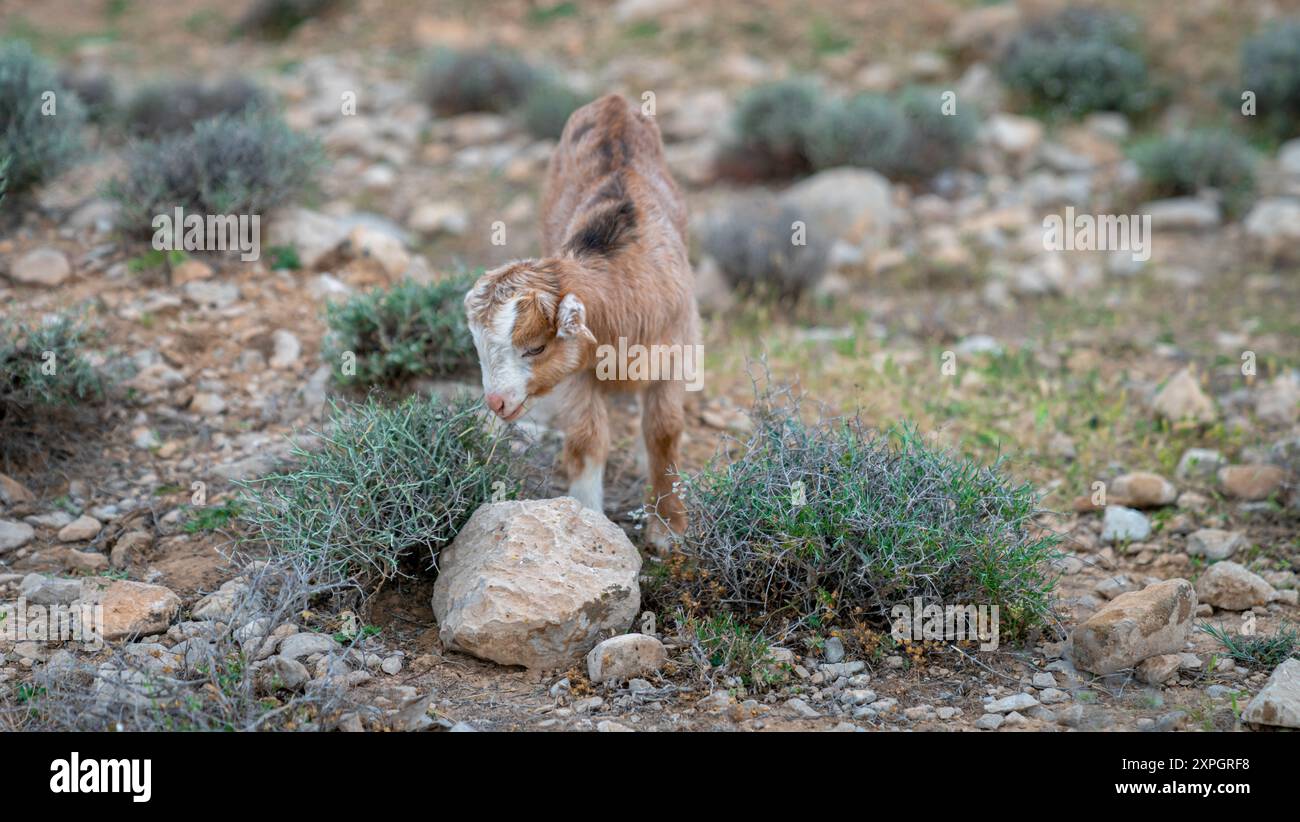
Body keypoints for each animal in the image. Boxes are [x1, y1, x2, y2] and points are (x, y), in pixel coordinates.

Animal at [464, 93, 699, 550]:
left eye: (536, 346)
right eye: (478, 349)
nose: (496, 402)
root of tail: (614, 102)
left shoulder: (677, 353)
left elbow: (664, 432)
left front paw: (668, 529)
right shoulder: (578, 373)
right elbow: (587, 439)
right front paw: (588, 518)